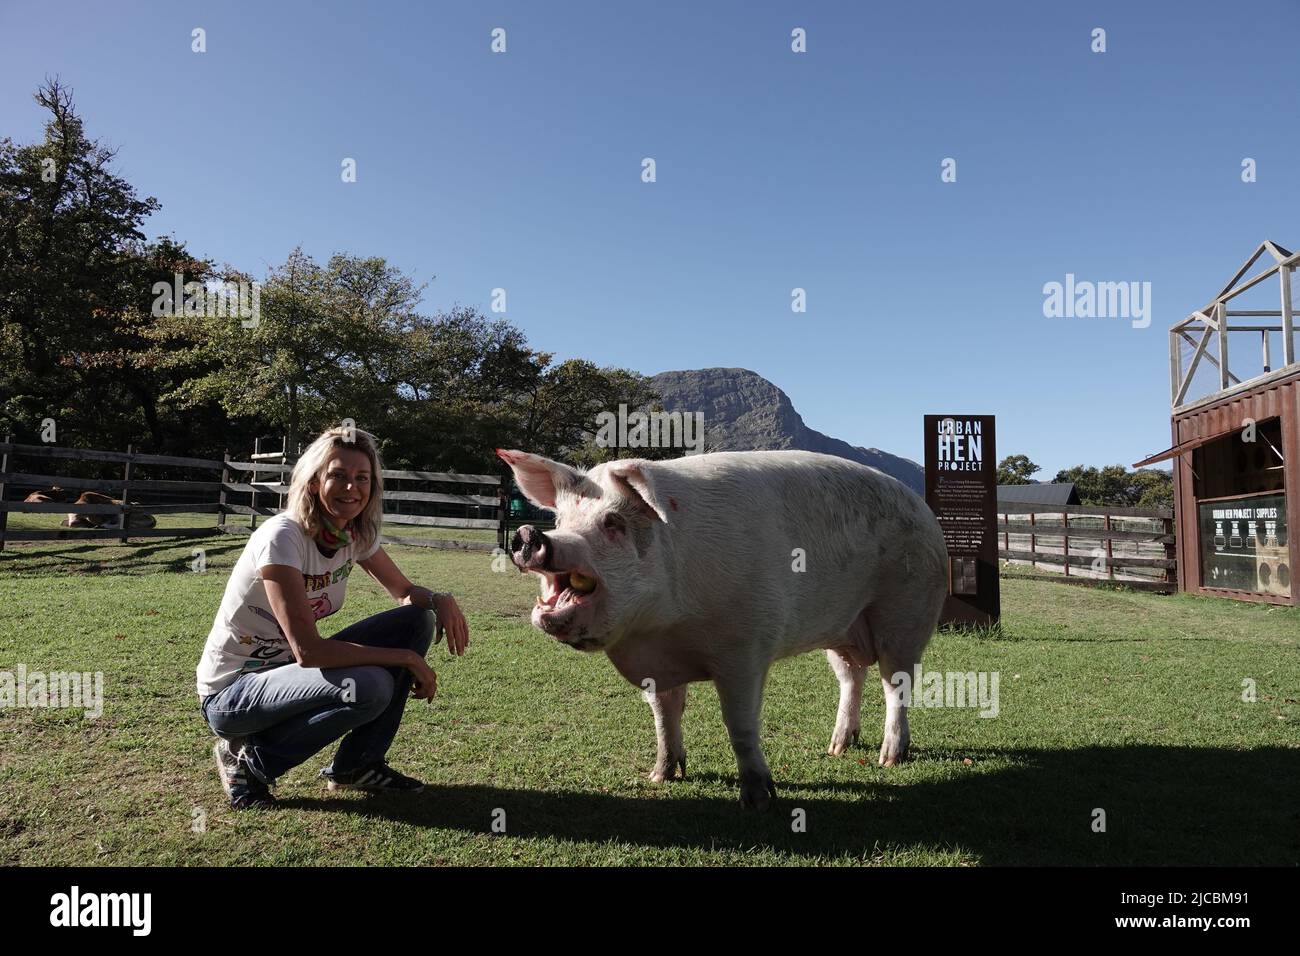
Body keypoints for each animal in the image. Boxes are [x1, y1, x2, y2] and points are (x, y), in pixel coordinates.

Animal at [496, 447, 949, 810]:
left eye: (612, 522)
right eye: (561, 518)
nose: (530, 534)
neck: (658, 628)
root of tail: (924, 509)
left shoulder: (745, 648)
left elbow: (740, 723)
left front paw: (759, 800)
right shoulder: (657, 663)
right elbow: (663, 714)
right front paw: (661, 776)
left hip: (907, 615)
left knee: (896, 684)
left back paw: (889, 757)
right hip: (841, 629)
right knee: (851, 677)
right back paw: (838, 748)